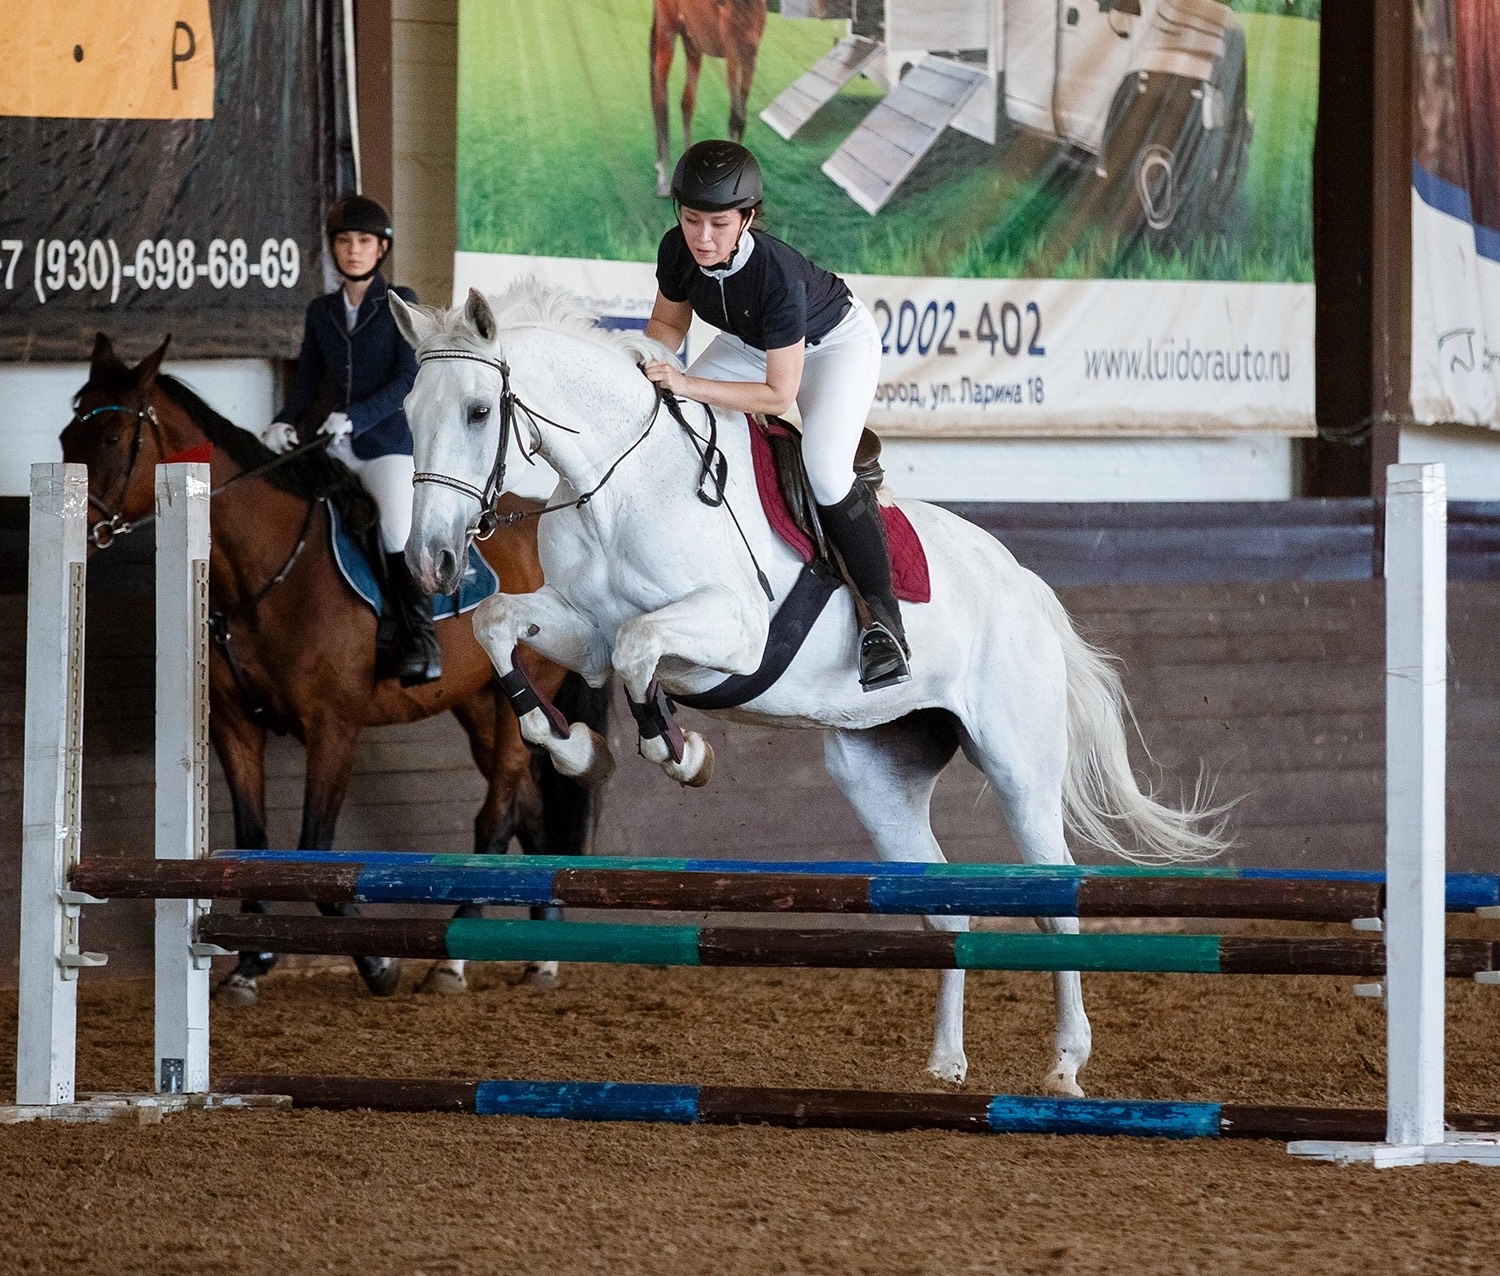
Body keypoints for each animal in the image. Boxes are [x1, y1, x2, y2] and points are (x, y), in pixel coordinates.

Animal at [61, 337, 606, 1007]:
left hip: (519, 700)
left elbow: (315, 852)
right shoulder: (236, 728)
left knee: (497, 813)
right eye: (65, 435)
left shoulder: (334, 728)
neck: (269, 570)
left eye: (112, 437)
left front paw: (376, 964)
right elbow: (254, 842)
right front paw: (250, 964)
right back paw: (541, 951)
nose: (76, 526)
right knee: (526, 807)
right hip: (480, 701)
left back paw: (454, 962)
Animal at [390, 281, 1230, 1097]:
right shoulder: (584, 630)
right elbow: (502, 625)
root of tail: (1024, 583)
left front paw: (680, 752)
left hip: (1019, 769)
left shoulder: (731, 634)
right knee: (948, 914)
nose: (432, 561)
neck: (619, 485)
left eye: (477, 410)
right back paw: (946, 1062)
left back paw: (1064, 1064)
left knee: (1058, 908)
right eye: (408, 412)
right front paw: (572, 747)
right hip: (878, 778)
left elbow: (639, 650)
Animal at [651, 0, 768, 194]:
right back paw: (663, 176)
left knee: (687, 103)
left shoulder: (751, 52)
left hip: (692, 42)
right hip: (667, 27)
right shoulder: (733, 49)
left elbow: (740, 119)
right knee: (659, 96)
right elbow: (736, 119)